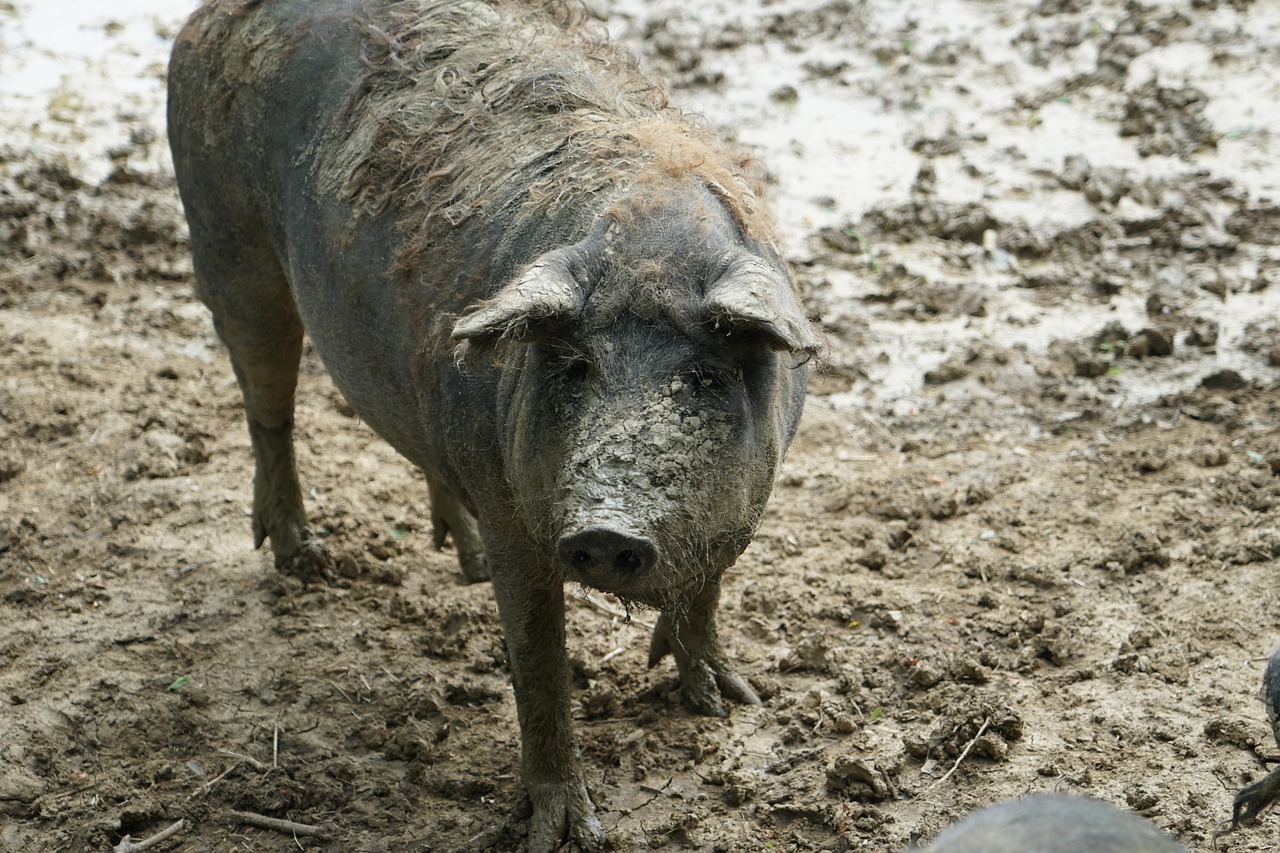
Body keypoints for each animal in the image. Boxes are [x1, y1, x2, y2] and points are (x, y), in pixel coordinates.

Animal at [166, 0, 817, 849]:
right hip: (228, 248)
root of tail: (203, 21)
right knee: (265, 404)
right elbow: (538, 662)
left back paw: (460, 561)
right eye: (573, 367)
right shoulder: (519, 521)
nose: (606, 527)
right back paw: (305, 560)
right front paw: (565, 832)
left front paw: (726, 701)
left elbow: (704, 587)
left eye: (704, 377)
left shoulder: (745, 504)